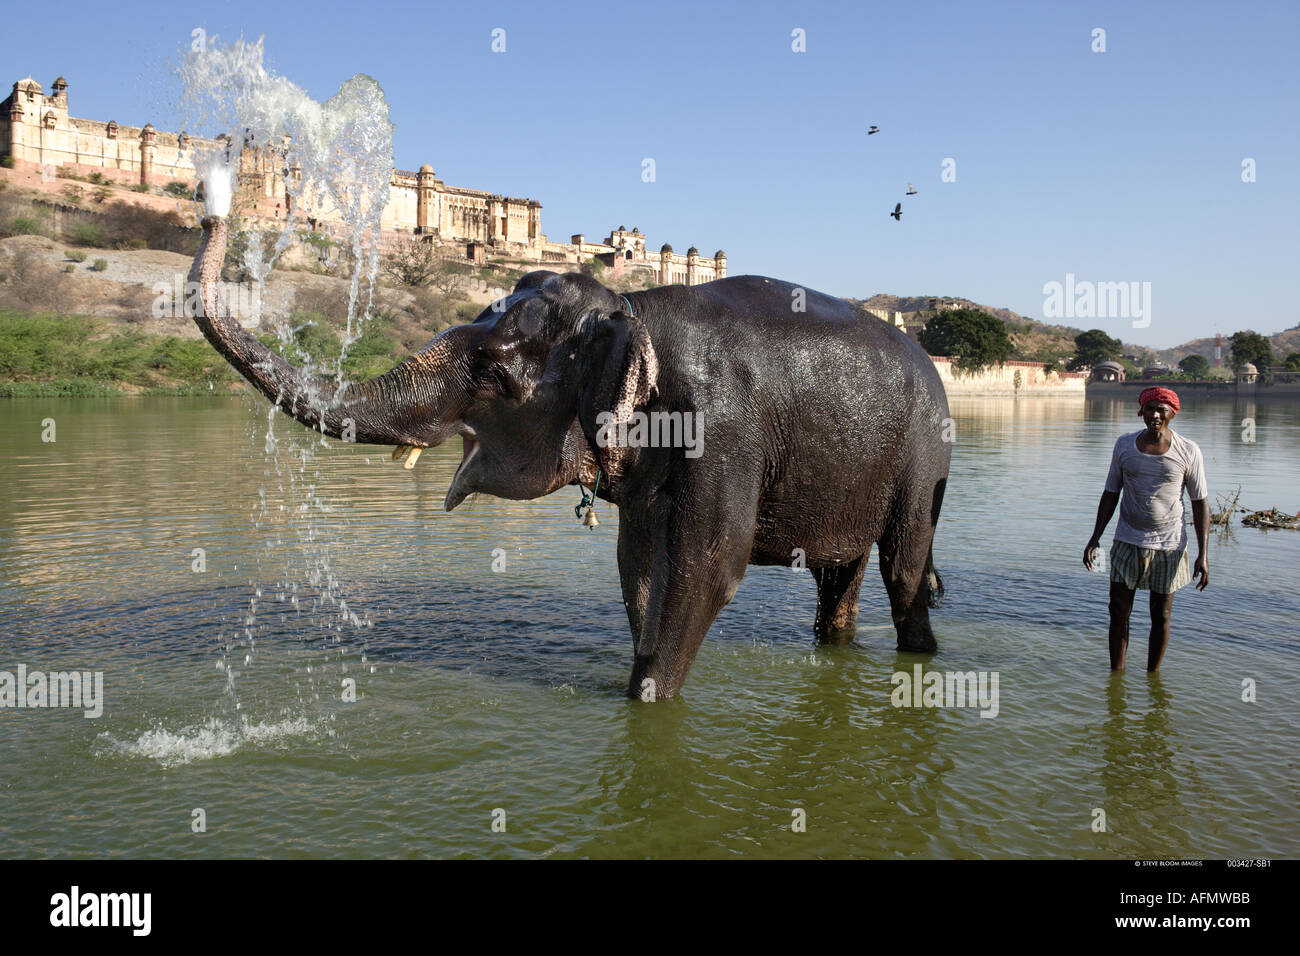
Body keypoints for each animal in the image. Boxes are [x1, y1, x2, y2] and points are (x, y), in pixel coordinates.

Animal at [187, 216, 951, 700]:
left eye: (495, 372)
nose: (207, 208)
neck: (631, 310)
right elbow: (637, 566)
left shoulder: (724, 429)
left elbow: (708, 569)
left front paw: (647, 704)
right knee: (838, 576)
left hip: (926, 451)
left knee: (903, 565)